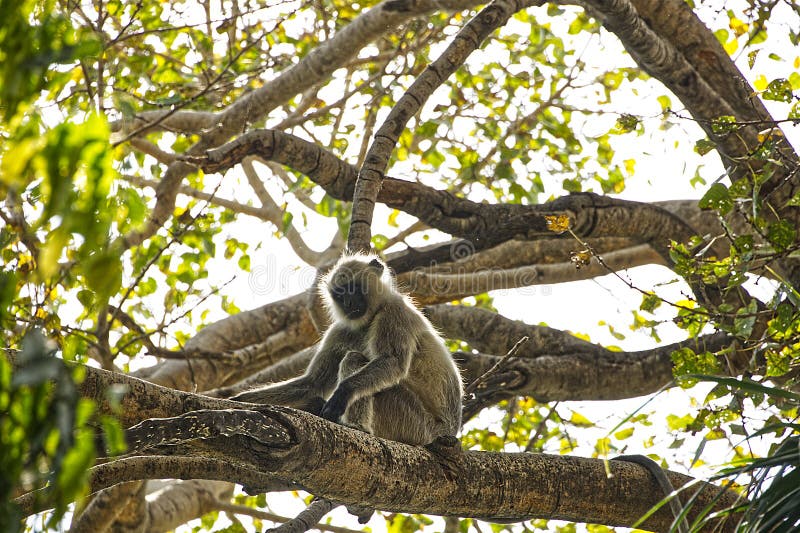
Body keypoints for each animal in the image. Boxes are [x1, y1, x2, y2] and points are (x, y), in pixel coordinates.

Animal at [232, 252, 463, 447]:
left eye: (352, 289)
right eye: (340, 295)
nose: (349, 303)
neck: (370, 319)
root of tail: (448, 431)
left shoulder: (394, 312)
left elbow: (392, 362)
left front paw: (342, 393)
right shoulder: (341, 329)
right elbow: (312, 383)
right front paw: (239, 400)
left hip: (417, 424)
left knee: (355, 359)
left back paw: (356, 426)